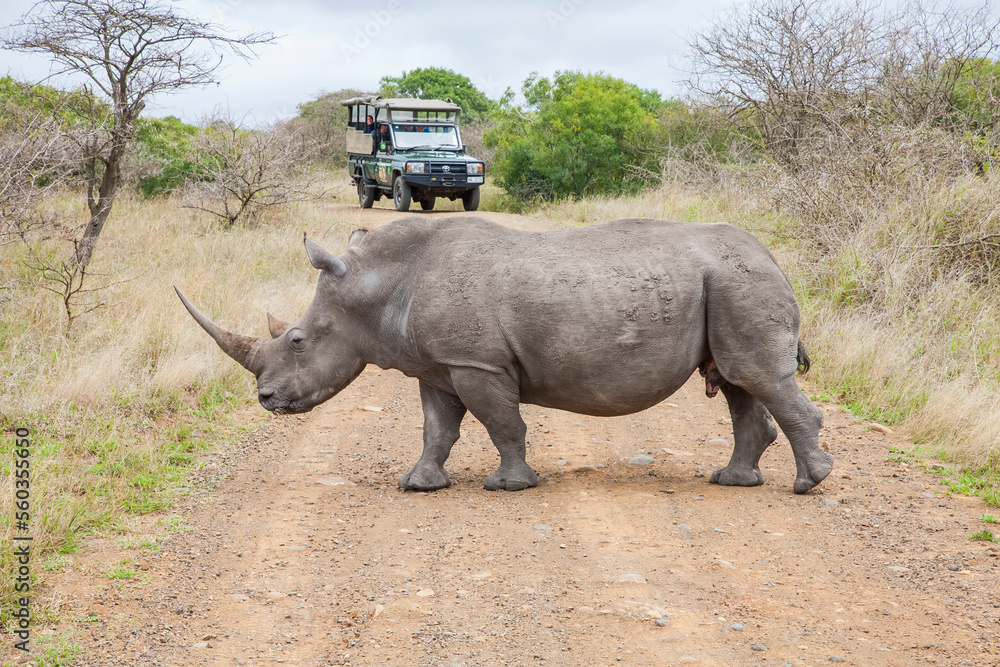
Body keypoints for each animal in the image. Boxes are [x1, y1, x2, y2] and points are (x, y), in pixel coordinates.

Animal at [176, 216, 832, 494]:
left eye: (297, 340)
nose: (265, 399)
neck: (377, 284)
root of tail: (775, 257)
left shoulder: (477, 362)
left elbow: (501, 422)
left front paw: (510, 486)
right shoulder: (441, 364)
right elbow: (436, 427)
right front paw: (418, 486)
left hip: (741, 282)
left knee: (753, 376)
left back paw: (808, 485)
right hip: (729, 281)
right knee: (739, 381)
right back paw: (733, 481)